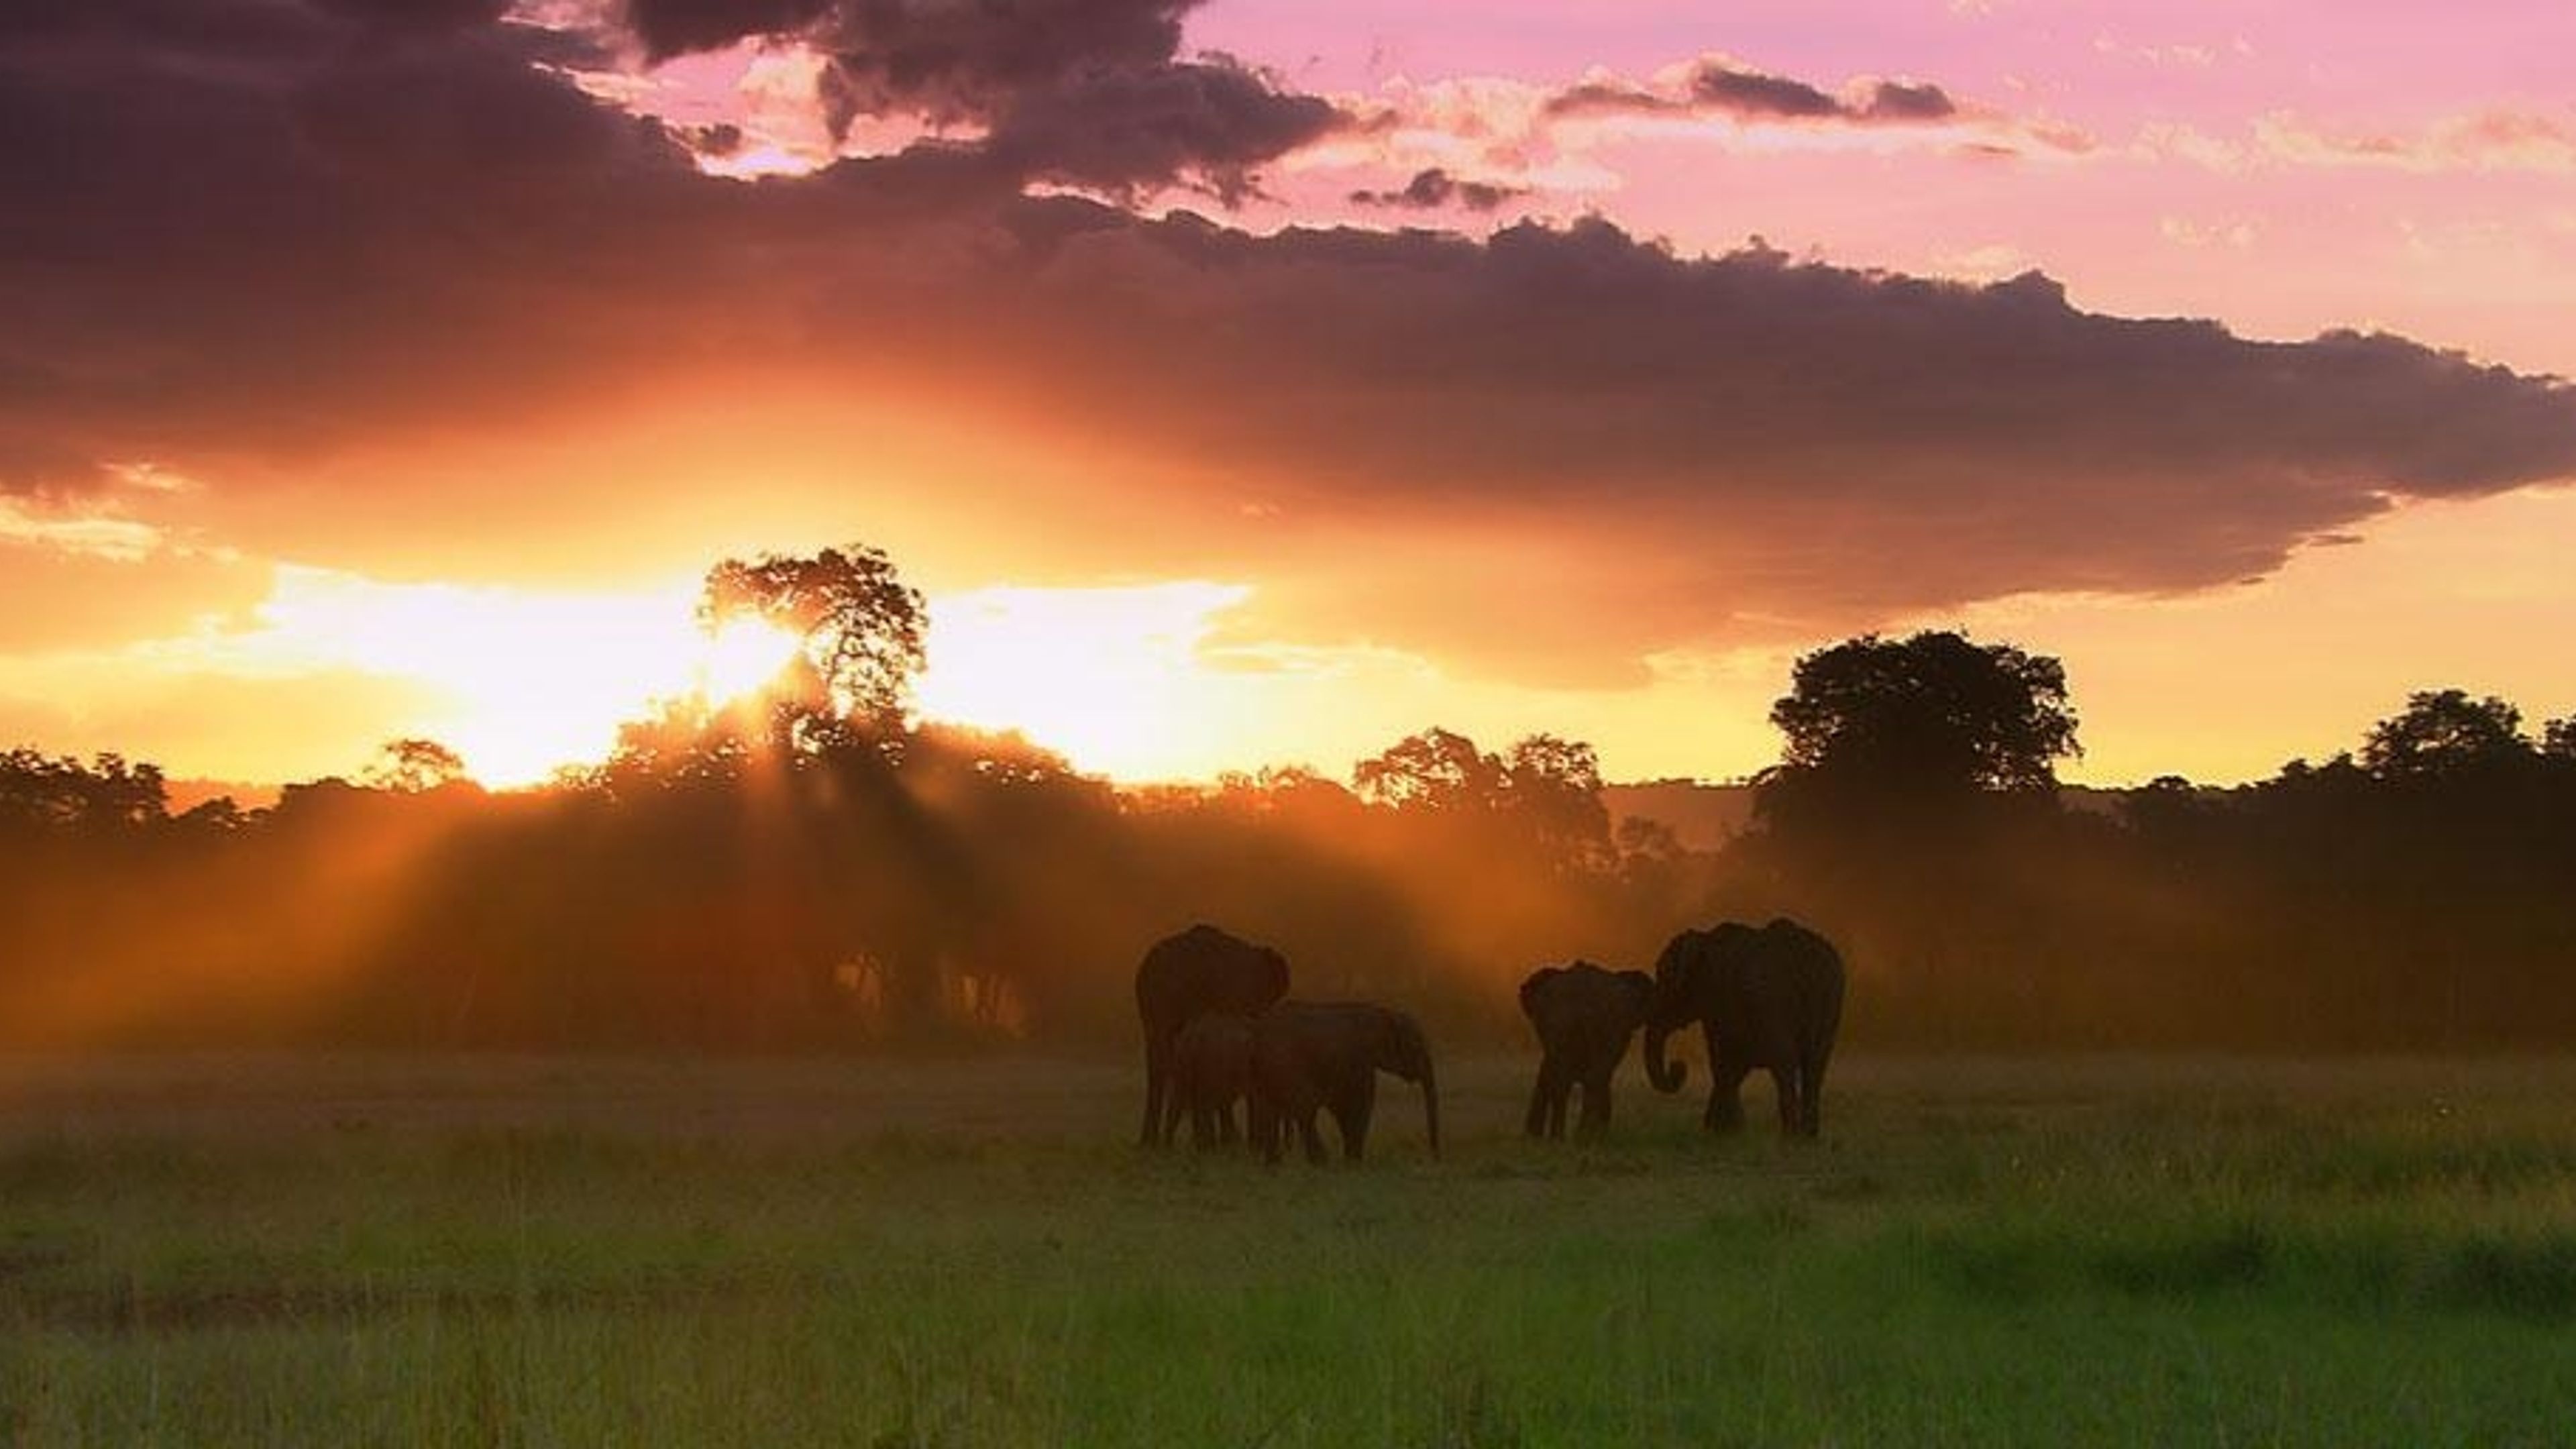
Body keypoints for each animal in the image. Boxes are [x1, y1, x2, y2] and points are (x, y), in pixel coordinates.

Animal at [1247, 1001, 1441, 1164]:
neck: (1383, 1013)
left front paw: (1351, 1162)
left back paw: (1275, 1166)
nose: (1433, 1157)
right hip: (1285, 1065)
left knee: (1274, 1110)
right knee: (1305, 1110)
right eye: (1416, 1046)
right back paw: (1321, 1162)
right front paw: (1354, 1164)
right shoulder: (1358, 1061)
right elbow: (1357, 1105)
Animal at [1642, 918, 1845, 1138]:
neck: (1704, 938)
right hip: (1831, 1001)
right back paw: (1807, 1137)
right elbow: (1736, 1065)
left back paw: (1789, 1137)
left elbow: (1722, 1060)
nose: (1678, 1066)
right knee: (1815, 1066)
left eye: (1663, 978)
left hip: (1773, 1004)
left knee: (1785, 1065)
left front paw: (1724, 1130)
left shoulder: (1718, 1002)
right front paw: (1729, 1129)